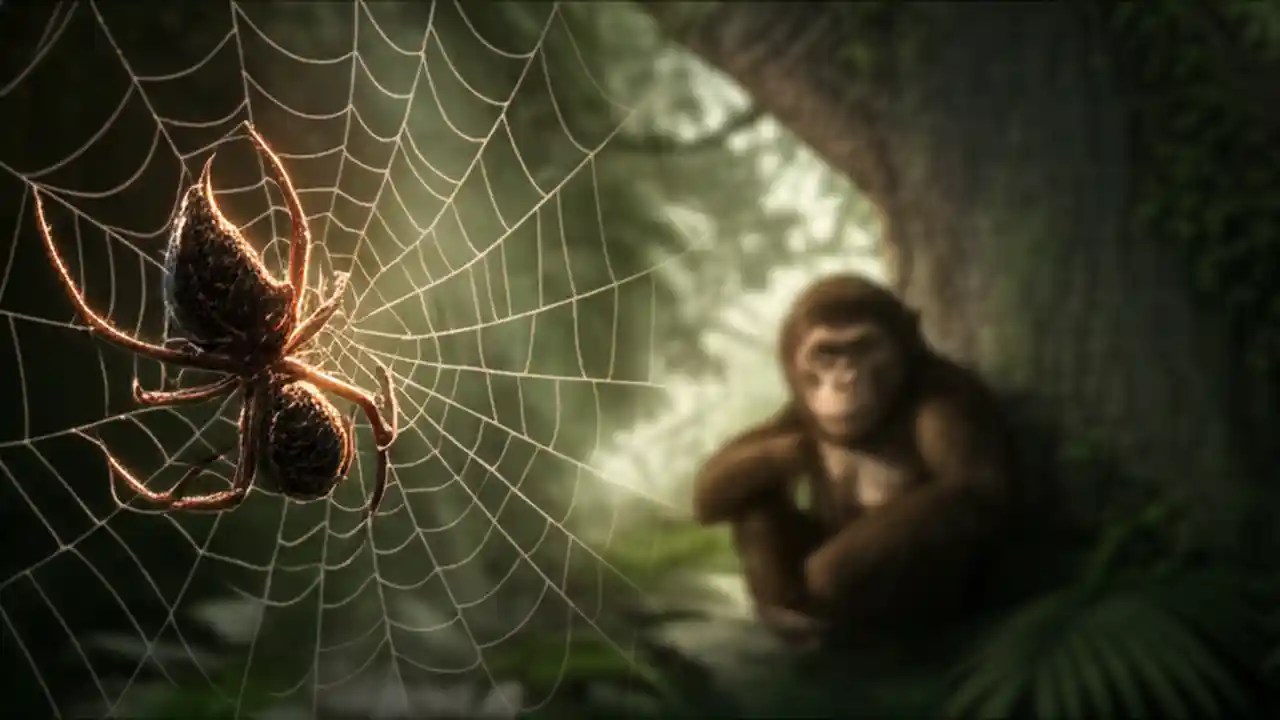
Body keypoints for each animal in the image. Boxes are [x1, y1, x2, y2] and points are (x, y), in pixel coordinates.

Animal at [693, 274, 1010, 645]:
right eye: (826, 354)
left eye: (863, 346)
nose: (844, 379)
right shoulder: (795, 411)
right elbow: (710, 483)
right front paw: (797, 450)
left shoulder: (949, 391)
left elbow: (972, 487)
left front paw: (825, 571)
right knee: (755, 501)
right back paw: (783, 613)